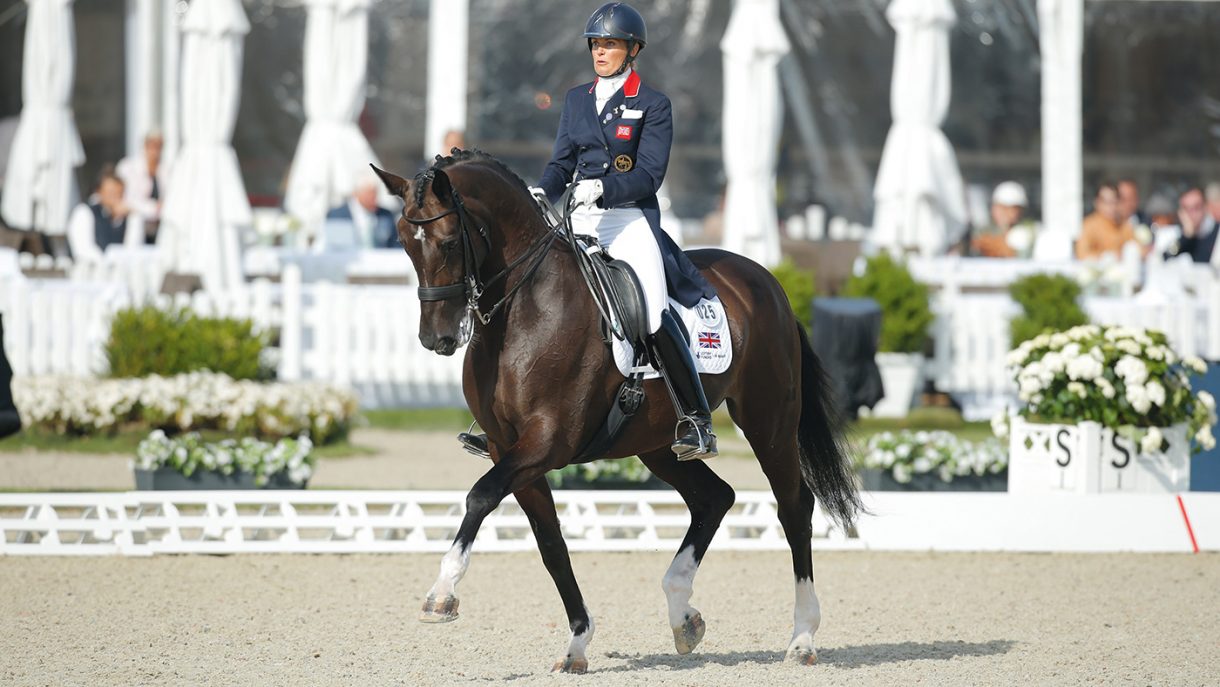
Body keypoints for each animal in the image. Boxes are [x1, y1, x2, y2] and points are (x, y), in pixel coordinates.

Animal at [372, 149, 860, 673]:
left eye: (446, 242)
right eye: (404, 243)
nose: (436, 339)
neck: (525, 311)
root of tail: (766, 281)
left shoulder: (548, 442)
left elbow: (480, 497)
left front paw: (441, 594)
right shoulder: (510, 449)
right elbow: (551, 544)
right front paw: (576, 645)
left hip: (768, 422)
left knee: (794, 507)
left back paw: (802, 637)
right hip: (658, 444)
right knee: (714, 498)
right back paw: (683, 615)